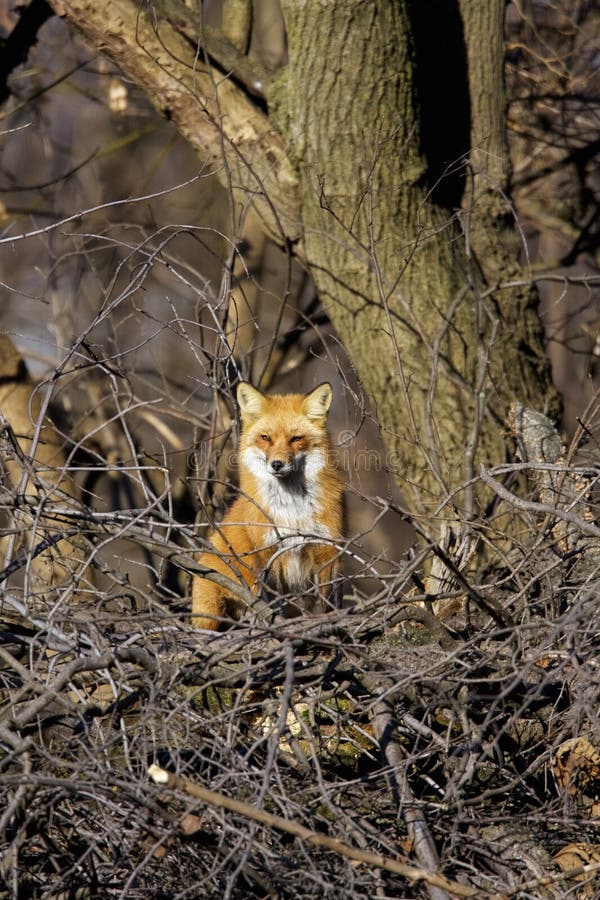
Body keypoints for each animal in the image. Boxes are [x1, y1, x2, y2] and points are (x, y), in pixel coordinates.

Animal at [192, 381, 344, 630]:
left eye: (296, 438)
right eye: (266, 437)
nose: (277, 464)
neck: (293, 511)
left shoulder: (328, 549)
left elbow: (331, 600)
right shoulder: (267, 553)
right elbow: (274, 602)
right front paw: (281, 626)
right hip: (210, 607)